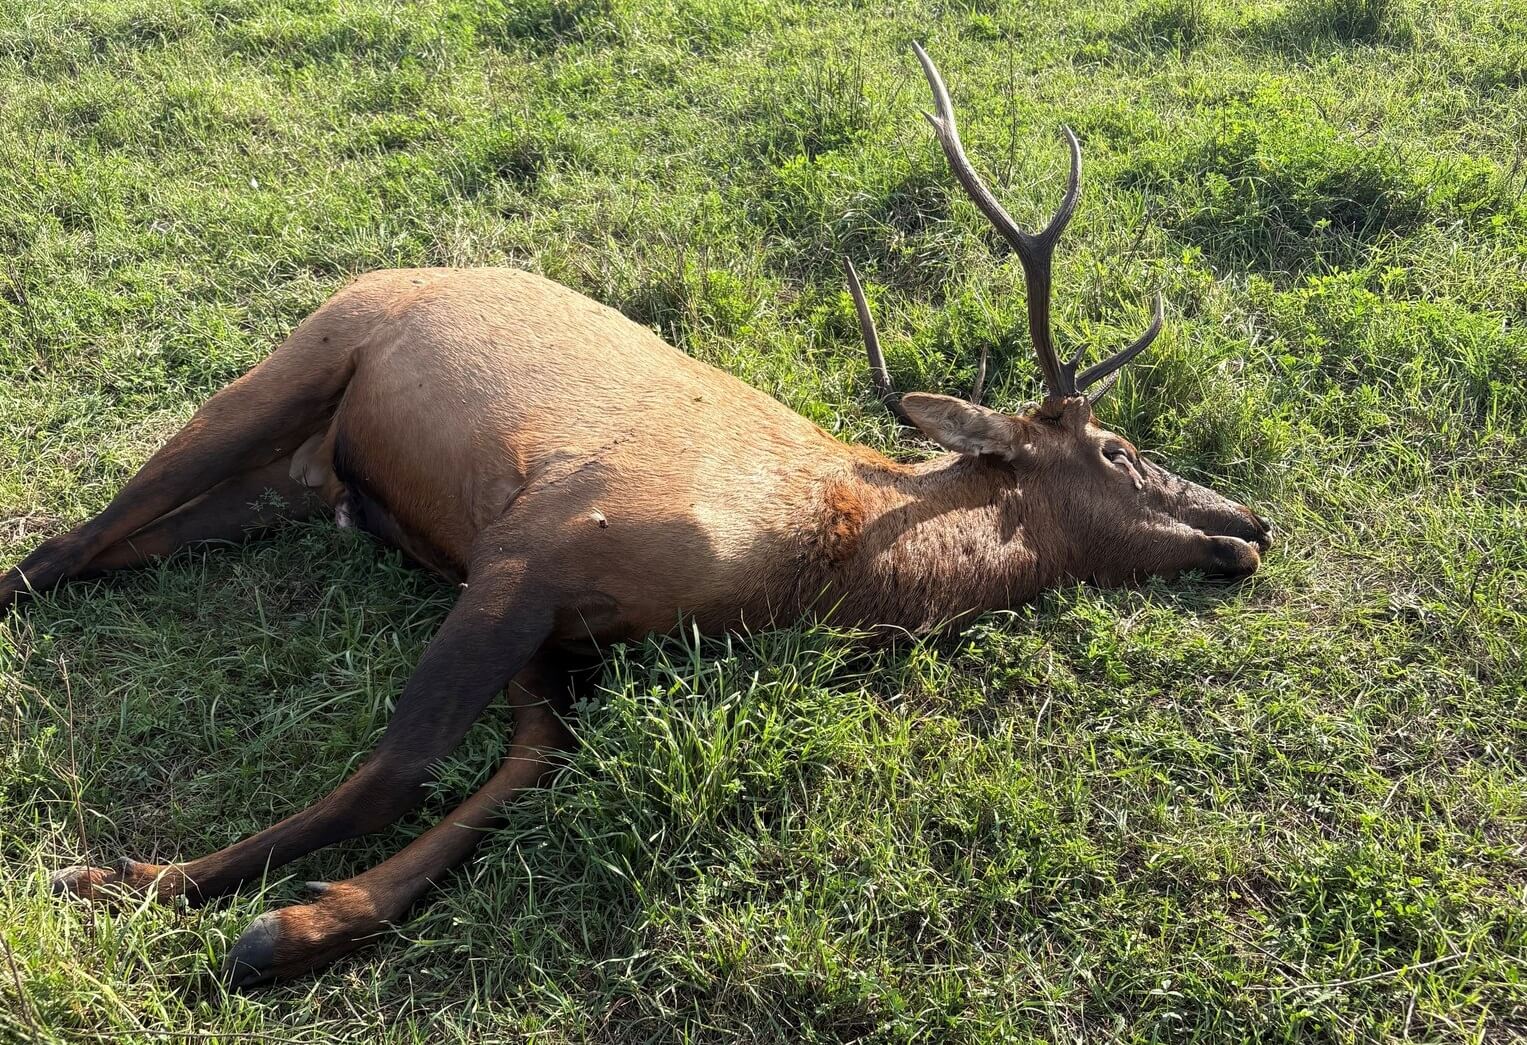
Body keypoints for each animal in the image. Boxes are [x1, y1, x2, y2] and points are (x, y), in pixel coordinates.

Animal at [2, 44, 1270, 987]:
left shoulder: (553, 626)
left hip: (288, 486)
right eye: (1117, 448)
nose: (1250, 525)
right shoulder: (539, 542)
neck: (805, 568)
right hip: (296, 362)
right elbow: (401, 764)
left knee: (110, 547)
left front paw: (296, 924)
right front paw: (126, 882)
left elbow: (529, 762)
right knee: (60, 547)